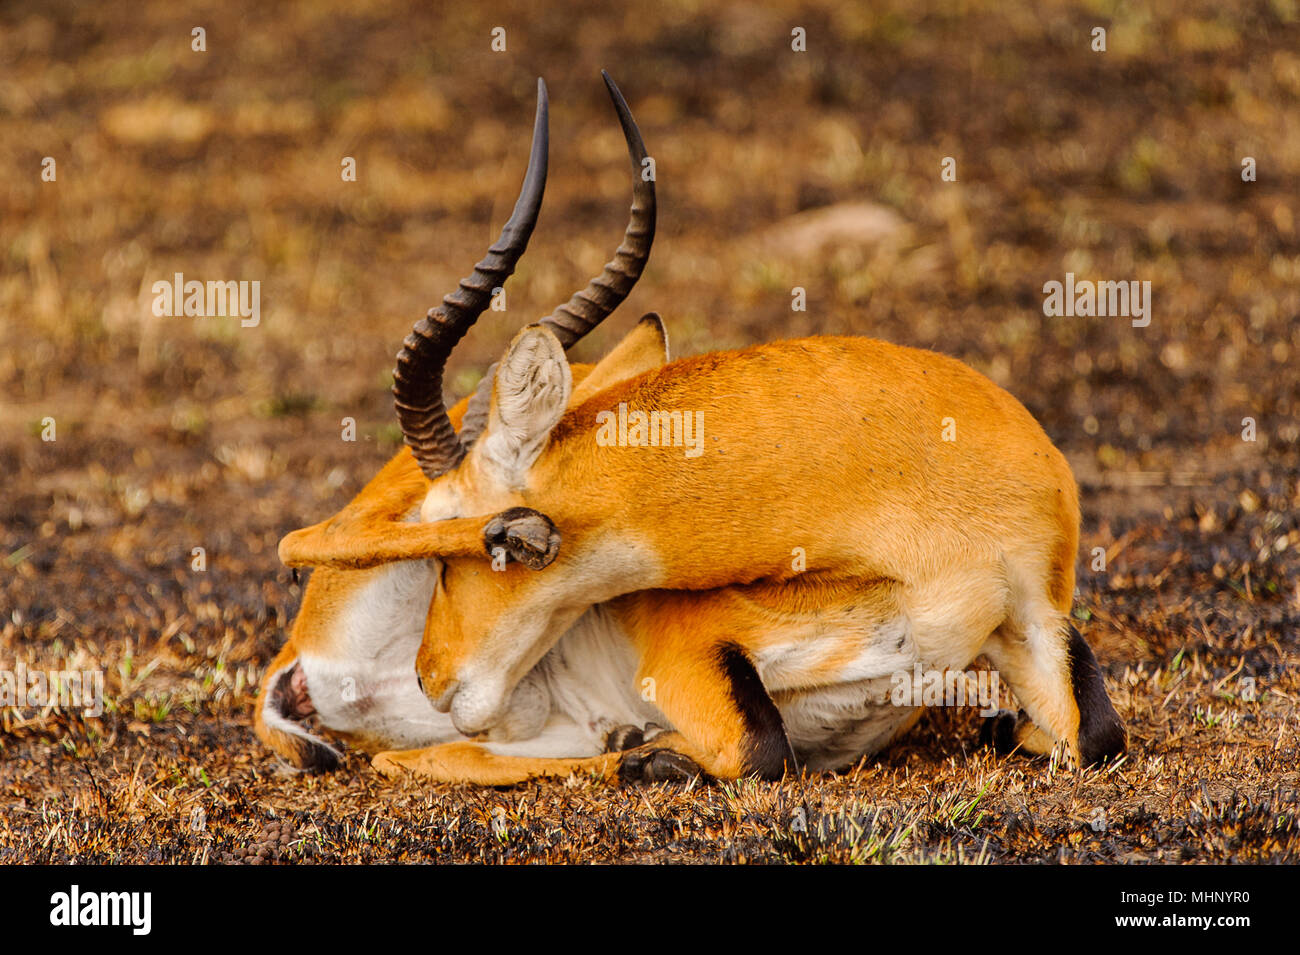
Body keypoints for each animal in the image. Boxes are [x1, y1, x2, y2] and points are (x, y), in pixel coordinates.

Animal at [264, 74, 1127, 785]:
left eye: (456, 558)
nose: (431, 676)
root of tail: (296, 666)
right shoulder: (694, 650)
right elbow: (762, 747)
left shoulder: (1034, 620)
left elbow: (1095, 736)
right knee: (310, 543)